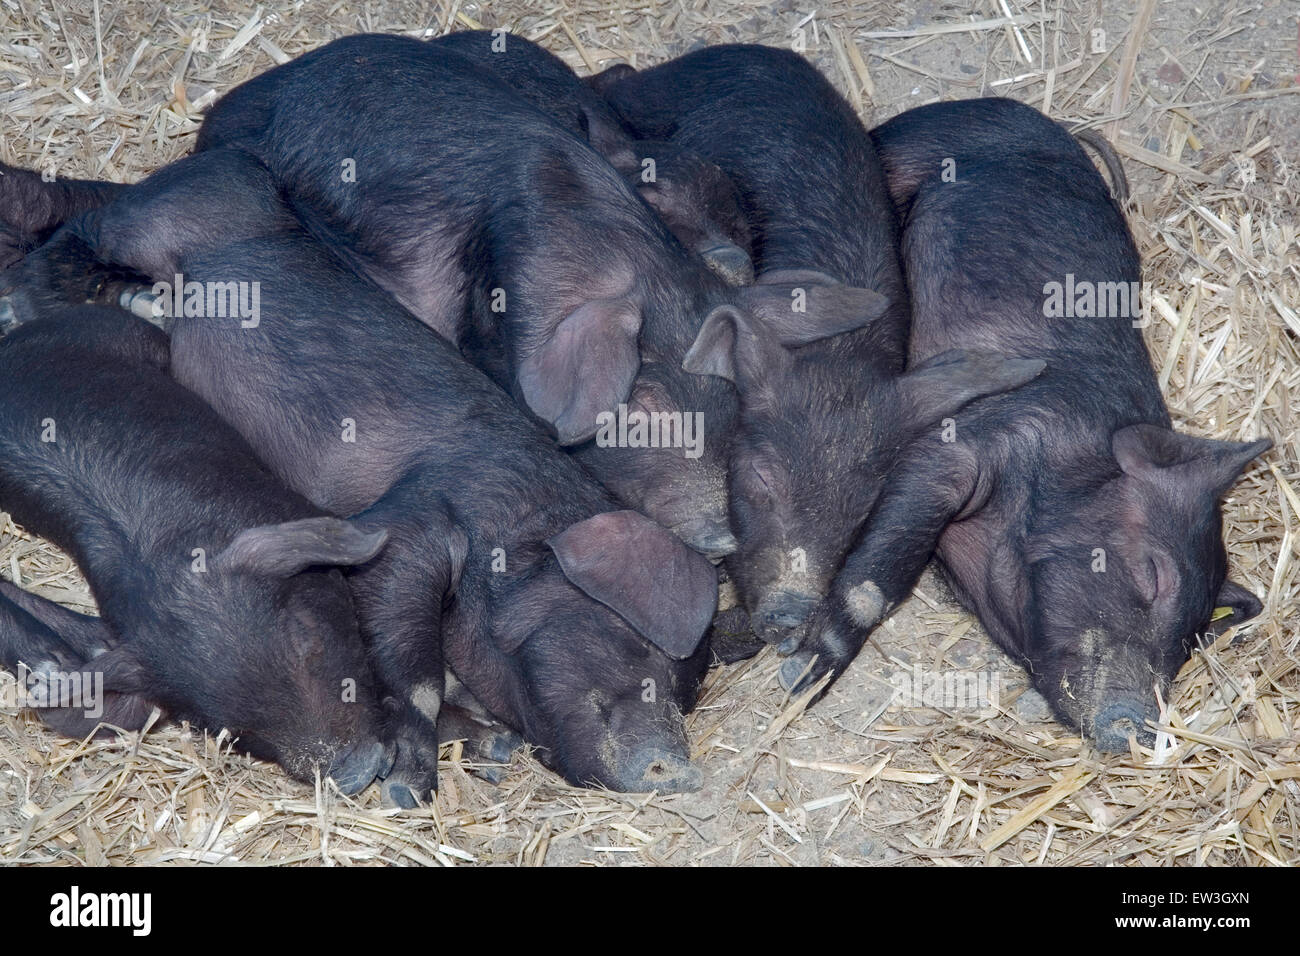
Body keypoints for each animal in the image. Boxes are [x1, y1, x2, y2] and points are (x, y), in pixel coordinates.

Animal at [777, 97, 1270, 751]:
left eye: (1193, 638)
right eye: (1153, 574)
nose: (1137, 727)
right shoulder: (968, 441)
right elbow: (874, 580)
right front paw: (800, 673)